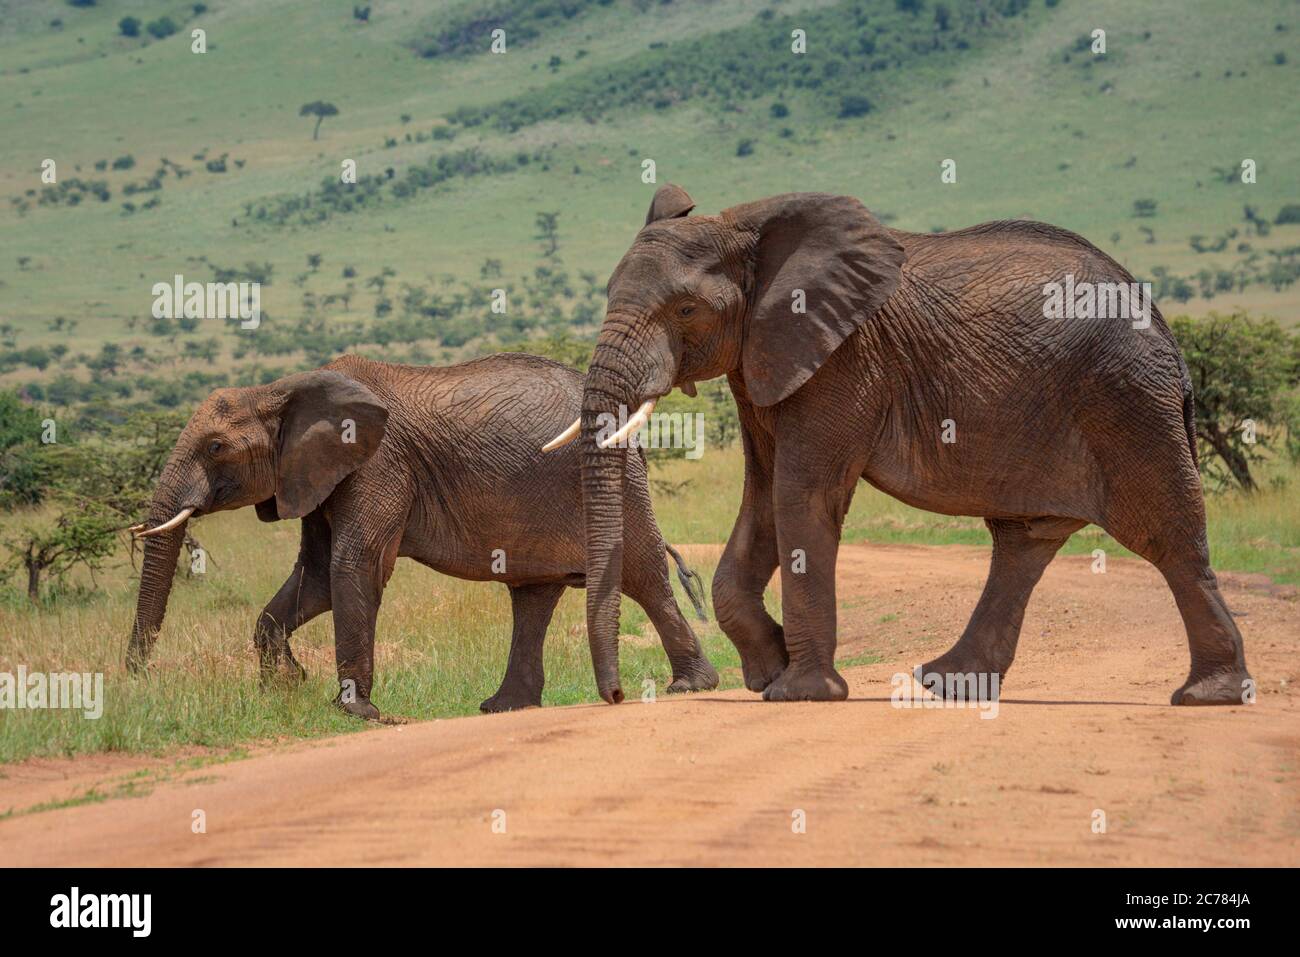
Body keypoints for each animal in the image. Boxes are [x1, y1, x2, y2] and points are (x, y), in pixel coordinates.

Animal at [126, 352, 718, 718]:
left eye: (215, 448)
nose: (138, 677)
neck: (278, 389)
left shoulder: (378, 464)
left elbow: (355, 567)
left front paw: (355, 712)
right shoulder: (320, 475)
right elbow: (315, 578)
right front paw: (286, 685)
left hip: (622, 485)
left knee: (644, 576)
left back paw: (691, 687)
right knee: (532, 595)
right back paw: (502, 707)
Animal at [543, 184, 1251, 707]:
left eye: (685, 310)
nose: (614, 697)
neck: (751, 230)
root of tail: (1162, 323)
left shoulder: (844, 360)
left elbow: (802, 496)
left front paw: (799, 693)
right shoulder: (766, 359)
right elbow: (763, 502)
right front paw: (769, 671)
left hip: (1129, 402)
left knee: (1166, 535)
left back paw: (1207, 696)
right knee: (1024, 542)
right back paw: (949, 685)